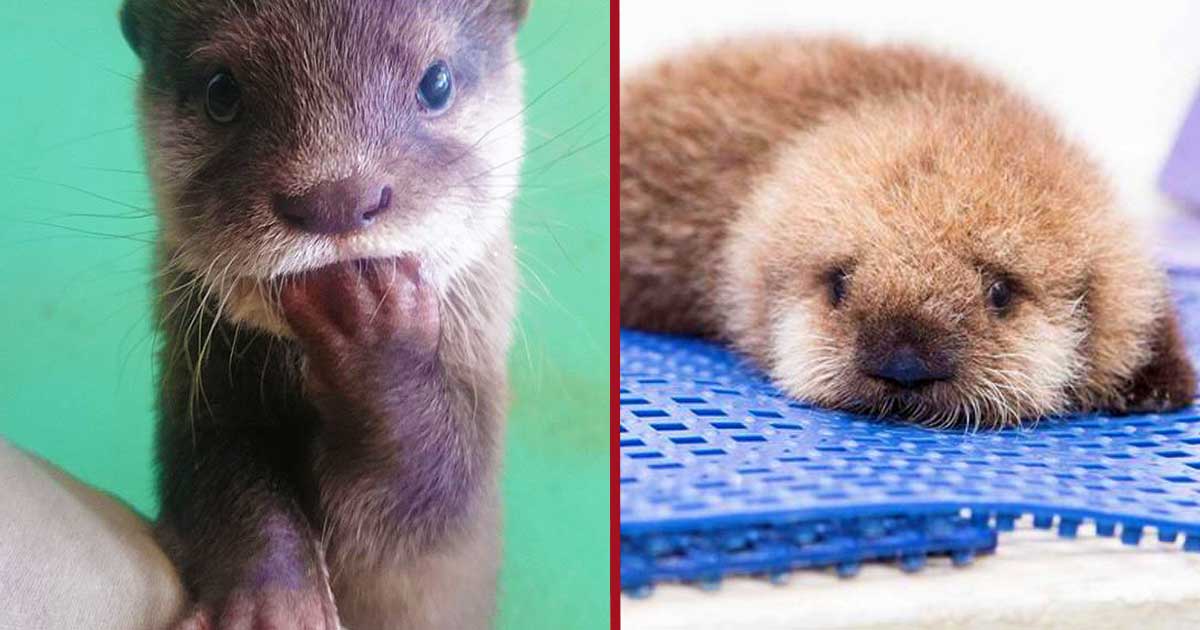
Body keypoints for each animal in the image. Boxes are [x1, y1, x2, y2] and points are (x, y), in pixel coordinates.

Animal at [119, 1, 528, 628]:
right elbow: (221, 480)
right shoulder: (198, 386)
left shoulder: (471, 429)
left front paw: (379, 340)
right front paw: (272, 604)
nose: (336, 197)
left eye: (436, 83)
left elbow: (420, 494)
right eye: (221, 91)